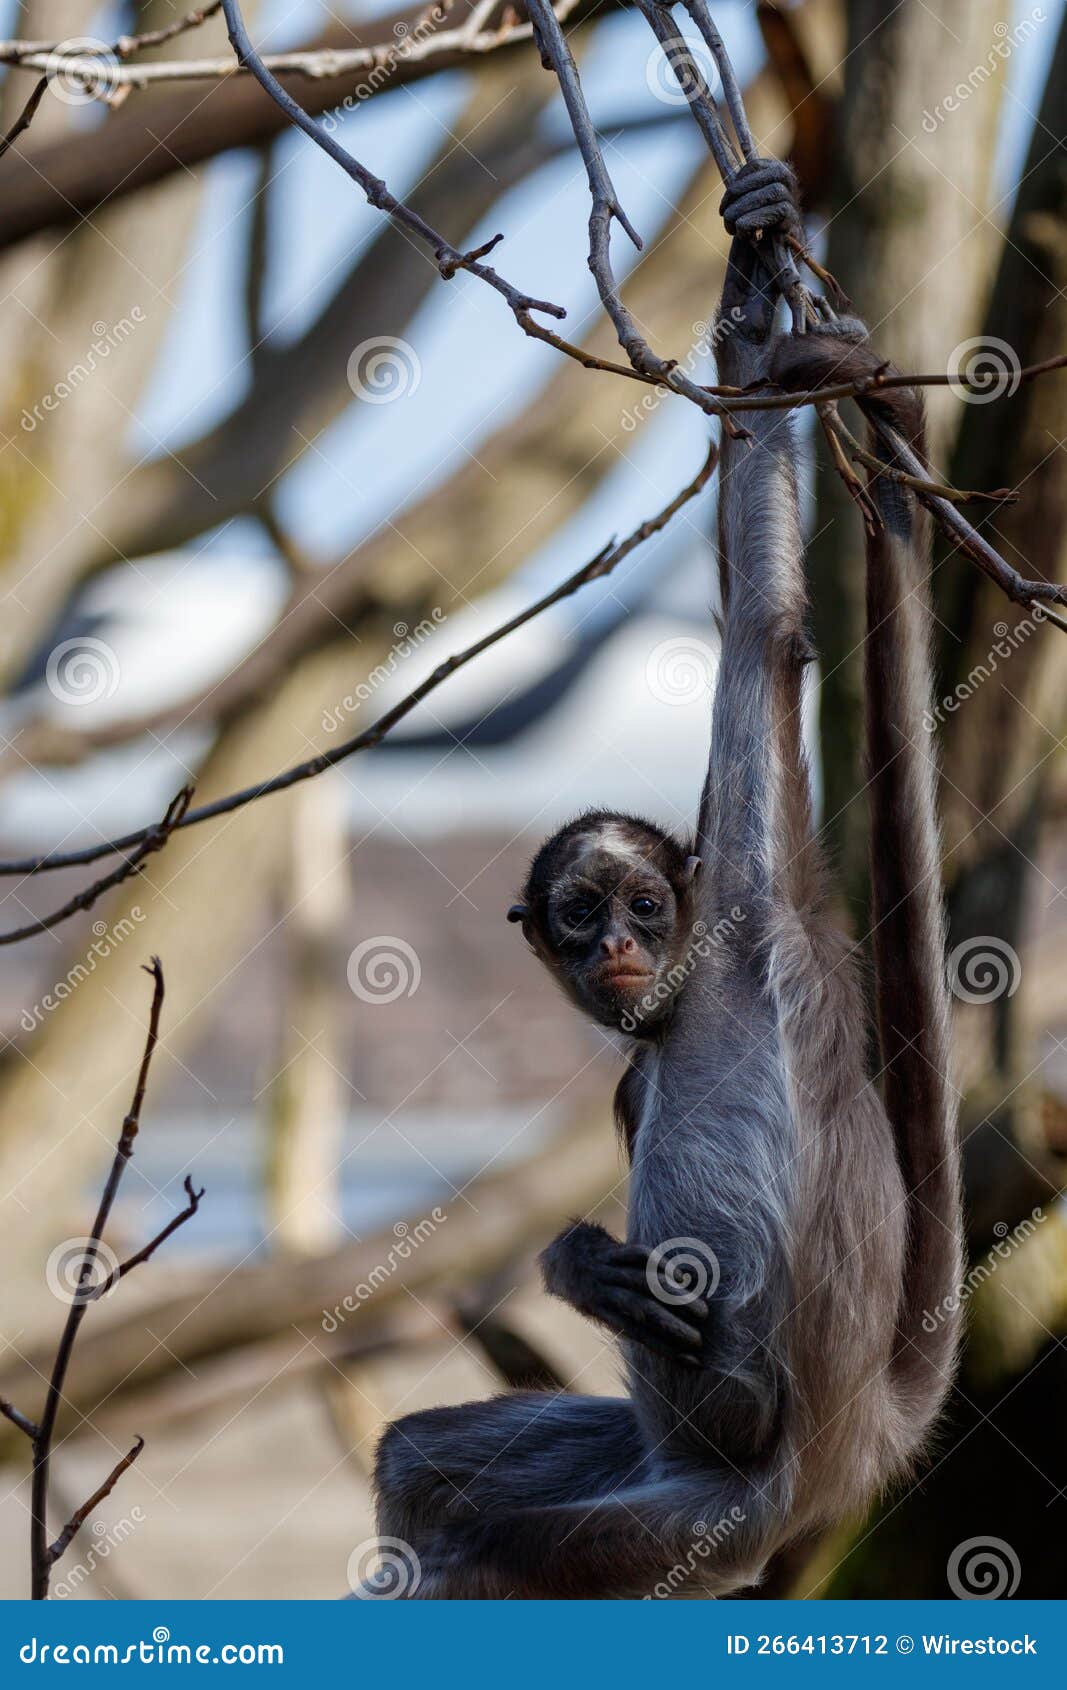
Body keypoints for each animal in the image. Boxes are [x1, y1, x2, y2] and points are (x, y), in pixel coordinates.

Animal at [366, 157, 963, 1599]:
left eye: (641, 904)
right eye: (579, 917)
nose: (619, 950)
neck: (688, 1004)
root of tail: (845, 1452)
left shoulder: (749, 889)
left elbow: (762, 626)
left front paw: (746, 304)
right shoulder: (634, 1063)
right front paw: (576, 1264)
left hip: (701, 1515)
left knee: (513, 1526)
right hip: (656, 1478)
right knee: (419, 1461)